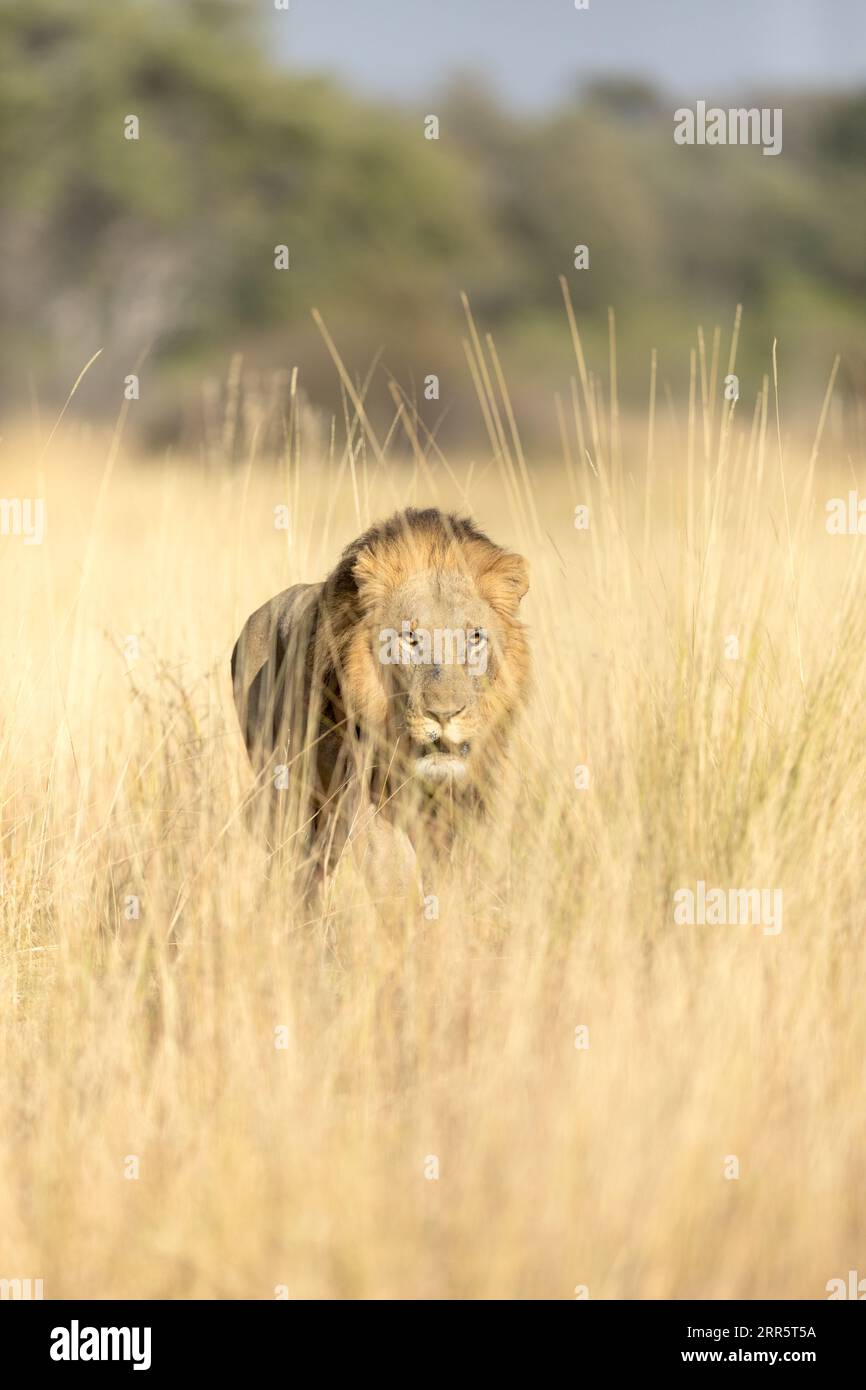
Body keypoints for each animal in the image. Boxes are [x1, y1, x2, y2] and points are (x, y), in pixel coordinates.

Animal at [231, 507, 530, 903]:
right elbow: (394, 877)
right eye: (410, 639)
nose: (443, 714)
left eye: (475, 638)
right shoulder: (366, 790)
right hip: (285, 788)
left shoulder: (476, 795)